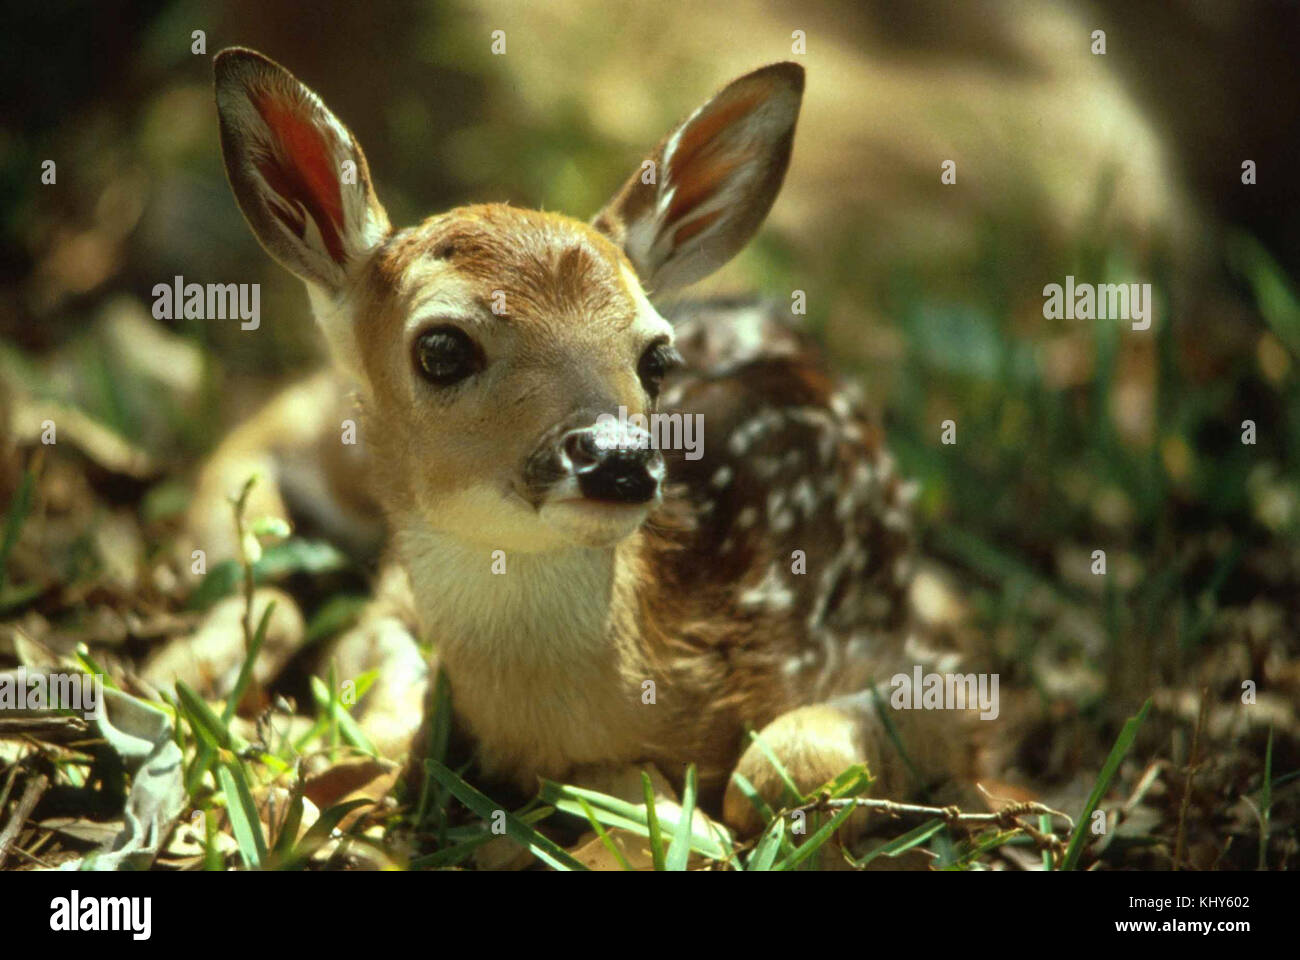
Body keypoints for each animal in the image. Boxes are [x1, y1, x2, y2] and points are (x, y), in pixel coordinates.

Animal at [206, 46, 967, 849]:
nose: (619, 459)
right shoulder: (391, 602)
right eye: (441, 348)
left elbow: (770, 770)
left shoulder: (931, 666)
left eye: (658, 358)